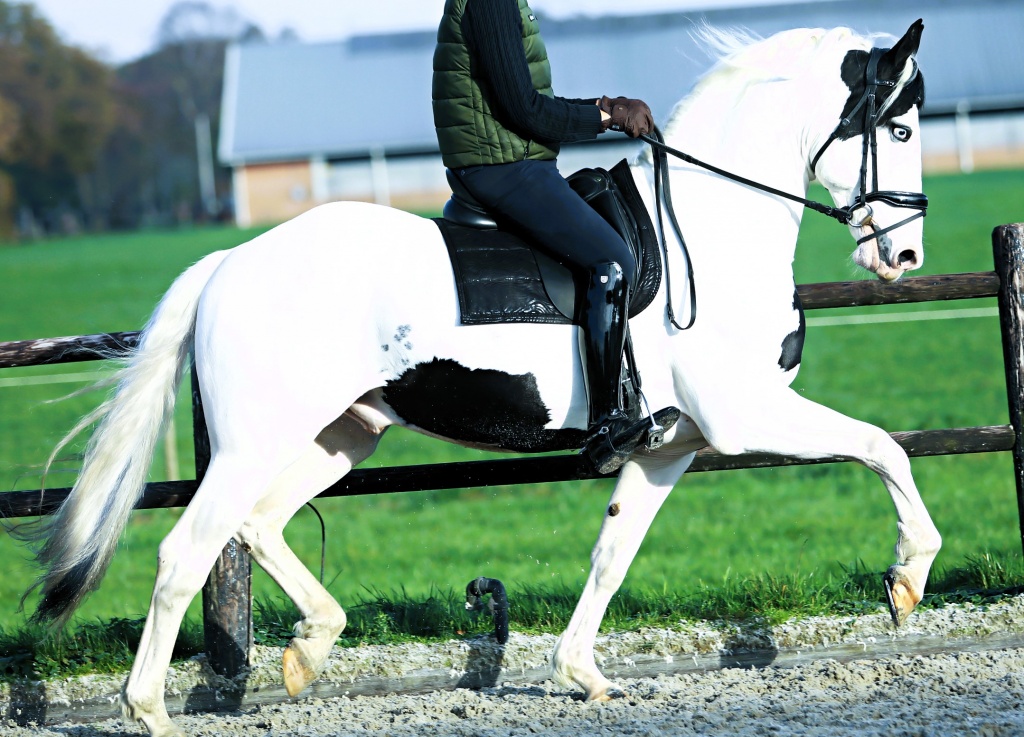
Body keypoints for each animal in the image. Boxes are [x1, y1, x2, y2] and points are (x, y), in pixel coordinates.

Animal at [25, 20, 938, 737]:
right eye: (899, 129)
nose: (904, 256)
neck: (710, 231)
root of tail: (226, 262)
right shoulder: (747, 413)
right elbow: (882, 446)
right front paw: (906, 580)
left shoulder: (667, 446)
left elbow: (614, 549)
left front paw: (581, 672)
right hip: (258, 439)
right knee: (187, 551)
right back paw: (150, 710)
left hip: (341, 433)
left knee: (257, 523)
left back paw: (309, 649)